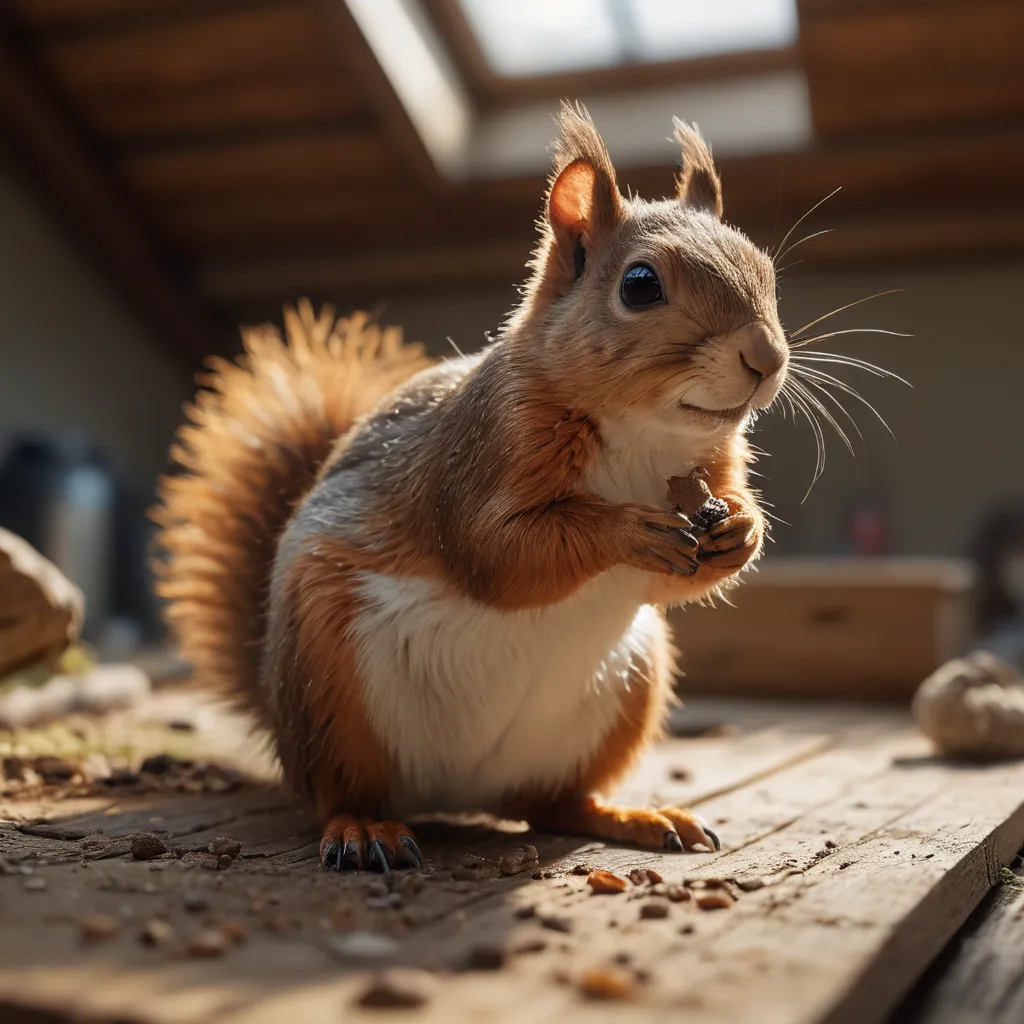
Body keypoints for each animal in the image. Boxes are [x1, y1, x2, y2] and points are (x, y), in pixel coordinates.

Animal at [153, 104, 788, 873]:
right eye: (640, 285)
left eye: (765, 270)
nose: (767, 357)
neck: (645, 435)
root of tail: (456, 791)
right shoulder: (480, 455)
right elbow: (497, 553)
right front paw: (625, 529)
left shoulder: (708, 470)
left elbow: (677, 574)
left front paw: (742, 531)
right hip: (327, 679)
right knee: (337, 791)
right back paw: (363, 829)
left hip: (627, 687)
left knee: (549, 804)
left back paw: (631, 816)